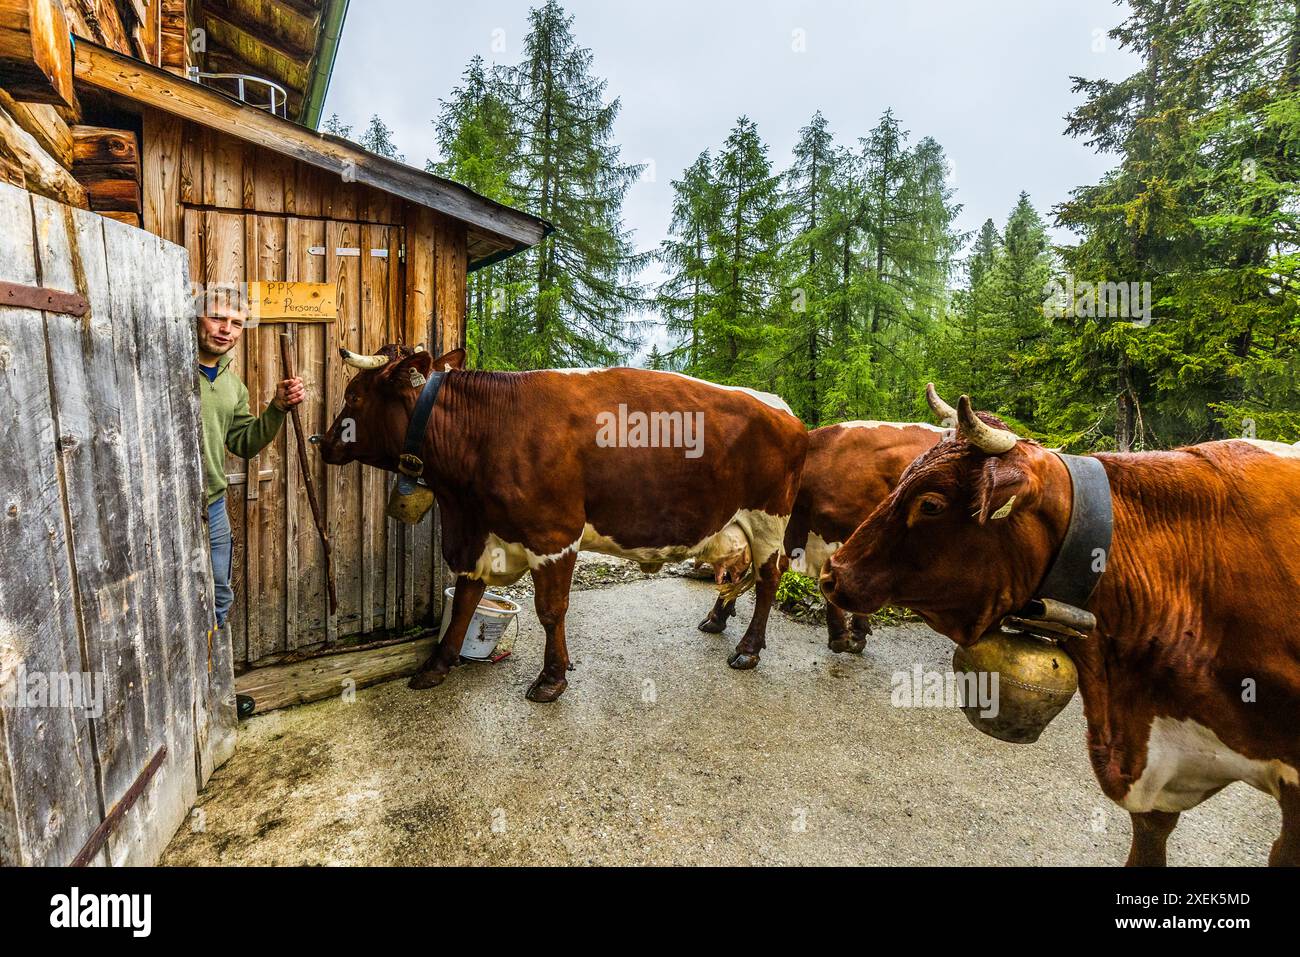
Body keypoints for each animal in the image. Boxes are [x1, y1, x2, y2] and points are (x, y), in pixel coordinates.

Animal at [315, 345, 808, 702]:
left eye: (353, 396)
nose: (321, 441)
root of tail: (785, 411)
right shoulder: (476, 535)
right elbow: (466, 601)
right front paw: (436, 666)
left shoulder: (553, 535)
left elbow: (551, 610)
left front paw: (552, 678)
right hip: (736, 524)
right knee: (738, 572)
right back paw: (717, 619)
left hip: (769, 520)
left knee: (768, 578)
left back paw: (747, 649)